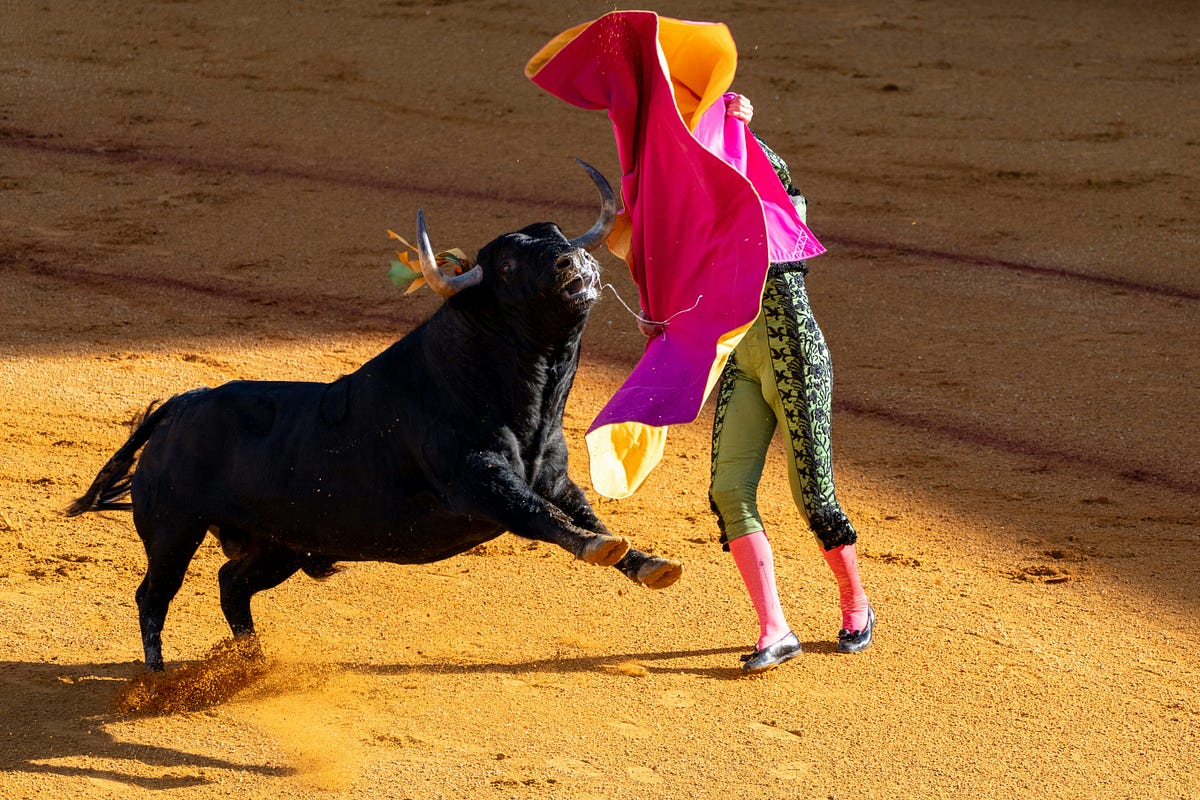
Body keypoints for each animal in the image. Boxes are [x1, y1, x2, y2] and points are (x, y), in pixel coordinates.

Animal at [67, 161, 682, 671]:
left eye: (554, 236)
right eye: (507, 265)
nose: (572, 259)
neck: (524, 397)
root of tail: (184, 404)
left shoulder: (552, 476)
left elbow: (584, 513)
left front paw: (650, 563)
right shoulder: (478, 479)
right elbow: (540, 516)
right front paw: (602, 550)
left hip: (277, 544)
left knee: (230, 585)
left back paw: (253, 661)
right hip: (174, 527)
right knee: (155, 594)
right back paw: (159, 676)